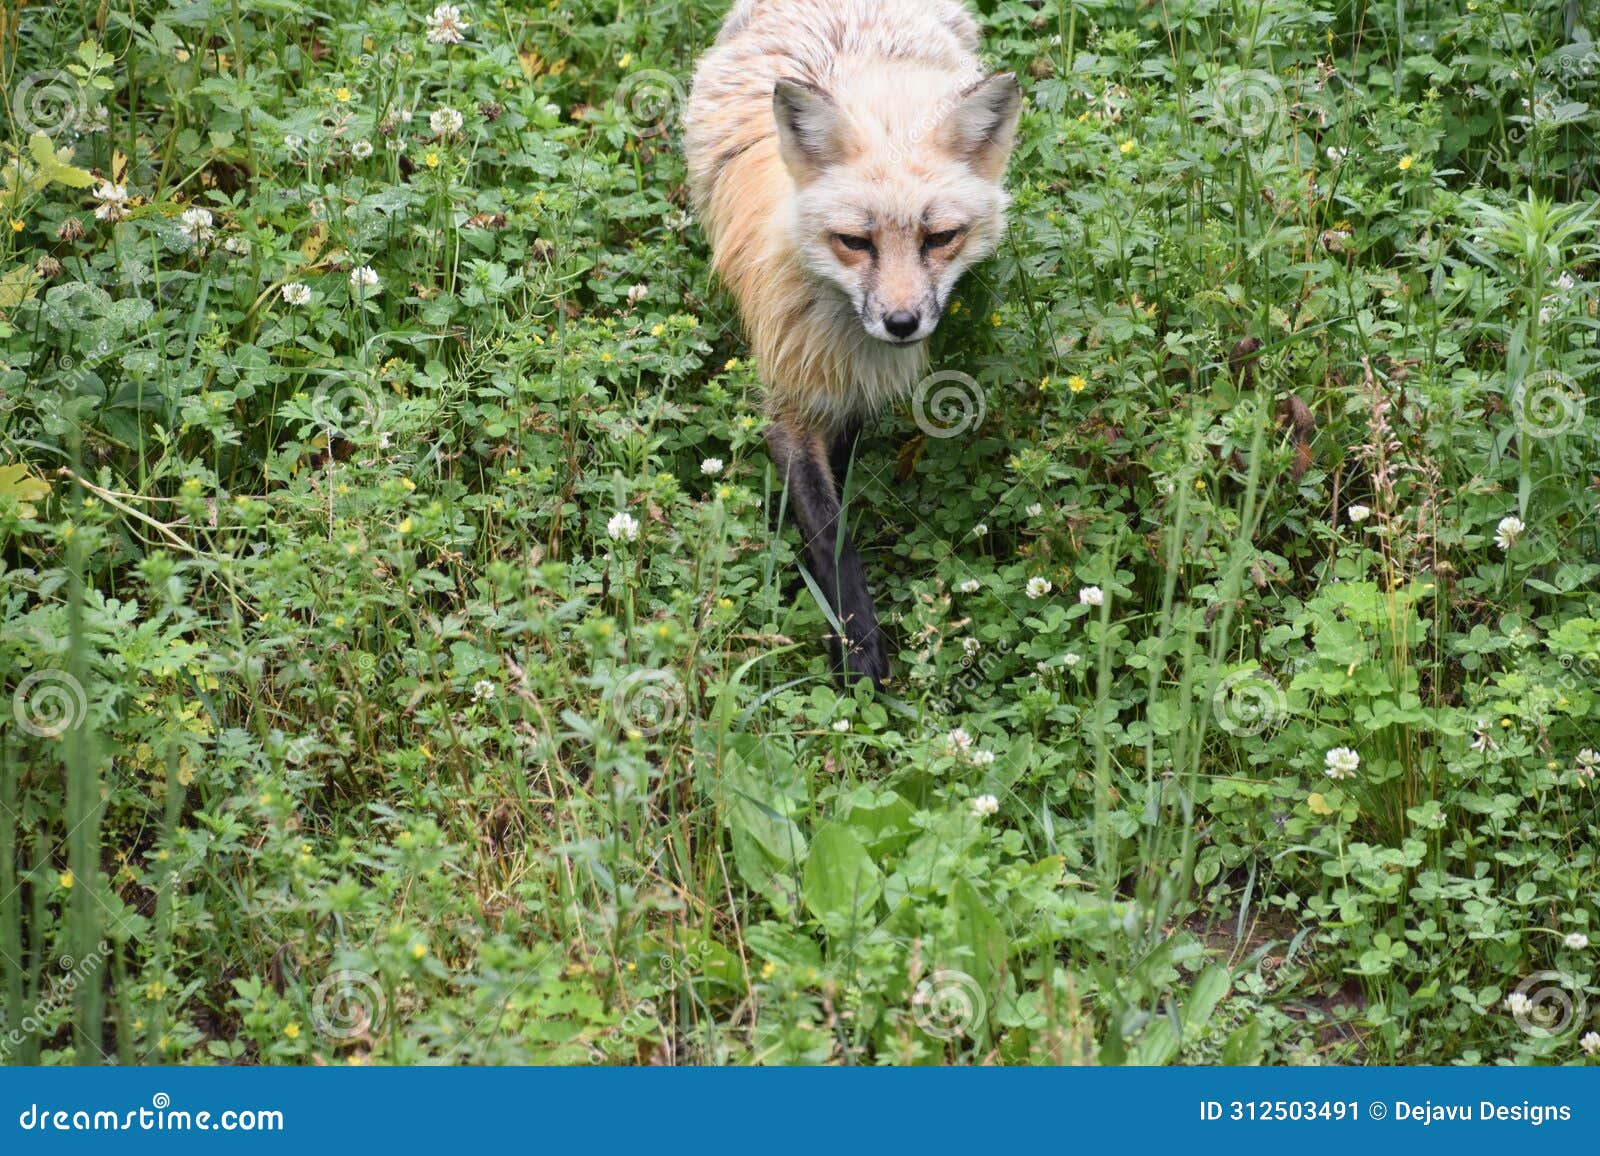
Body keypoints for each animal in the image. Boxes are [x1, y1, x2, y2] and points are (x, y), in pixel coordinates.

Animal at [685, 0, 1022, 687]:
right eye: (855, 242)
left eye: (939, 237)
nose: (901, 322)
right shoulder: (790, 392)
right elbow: (829, 531)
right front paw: (857, 645)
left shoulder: (847, 391)